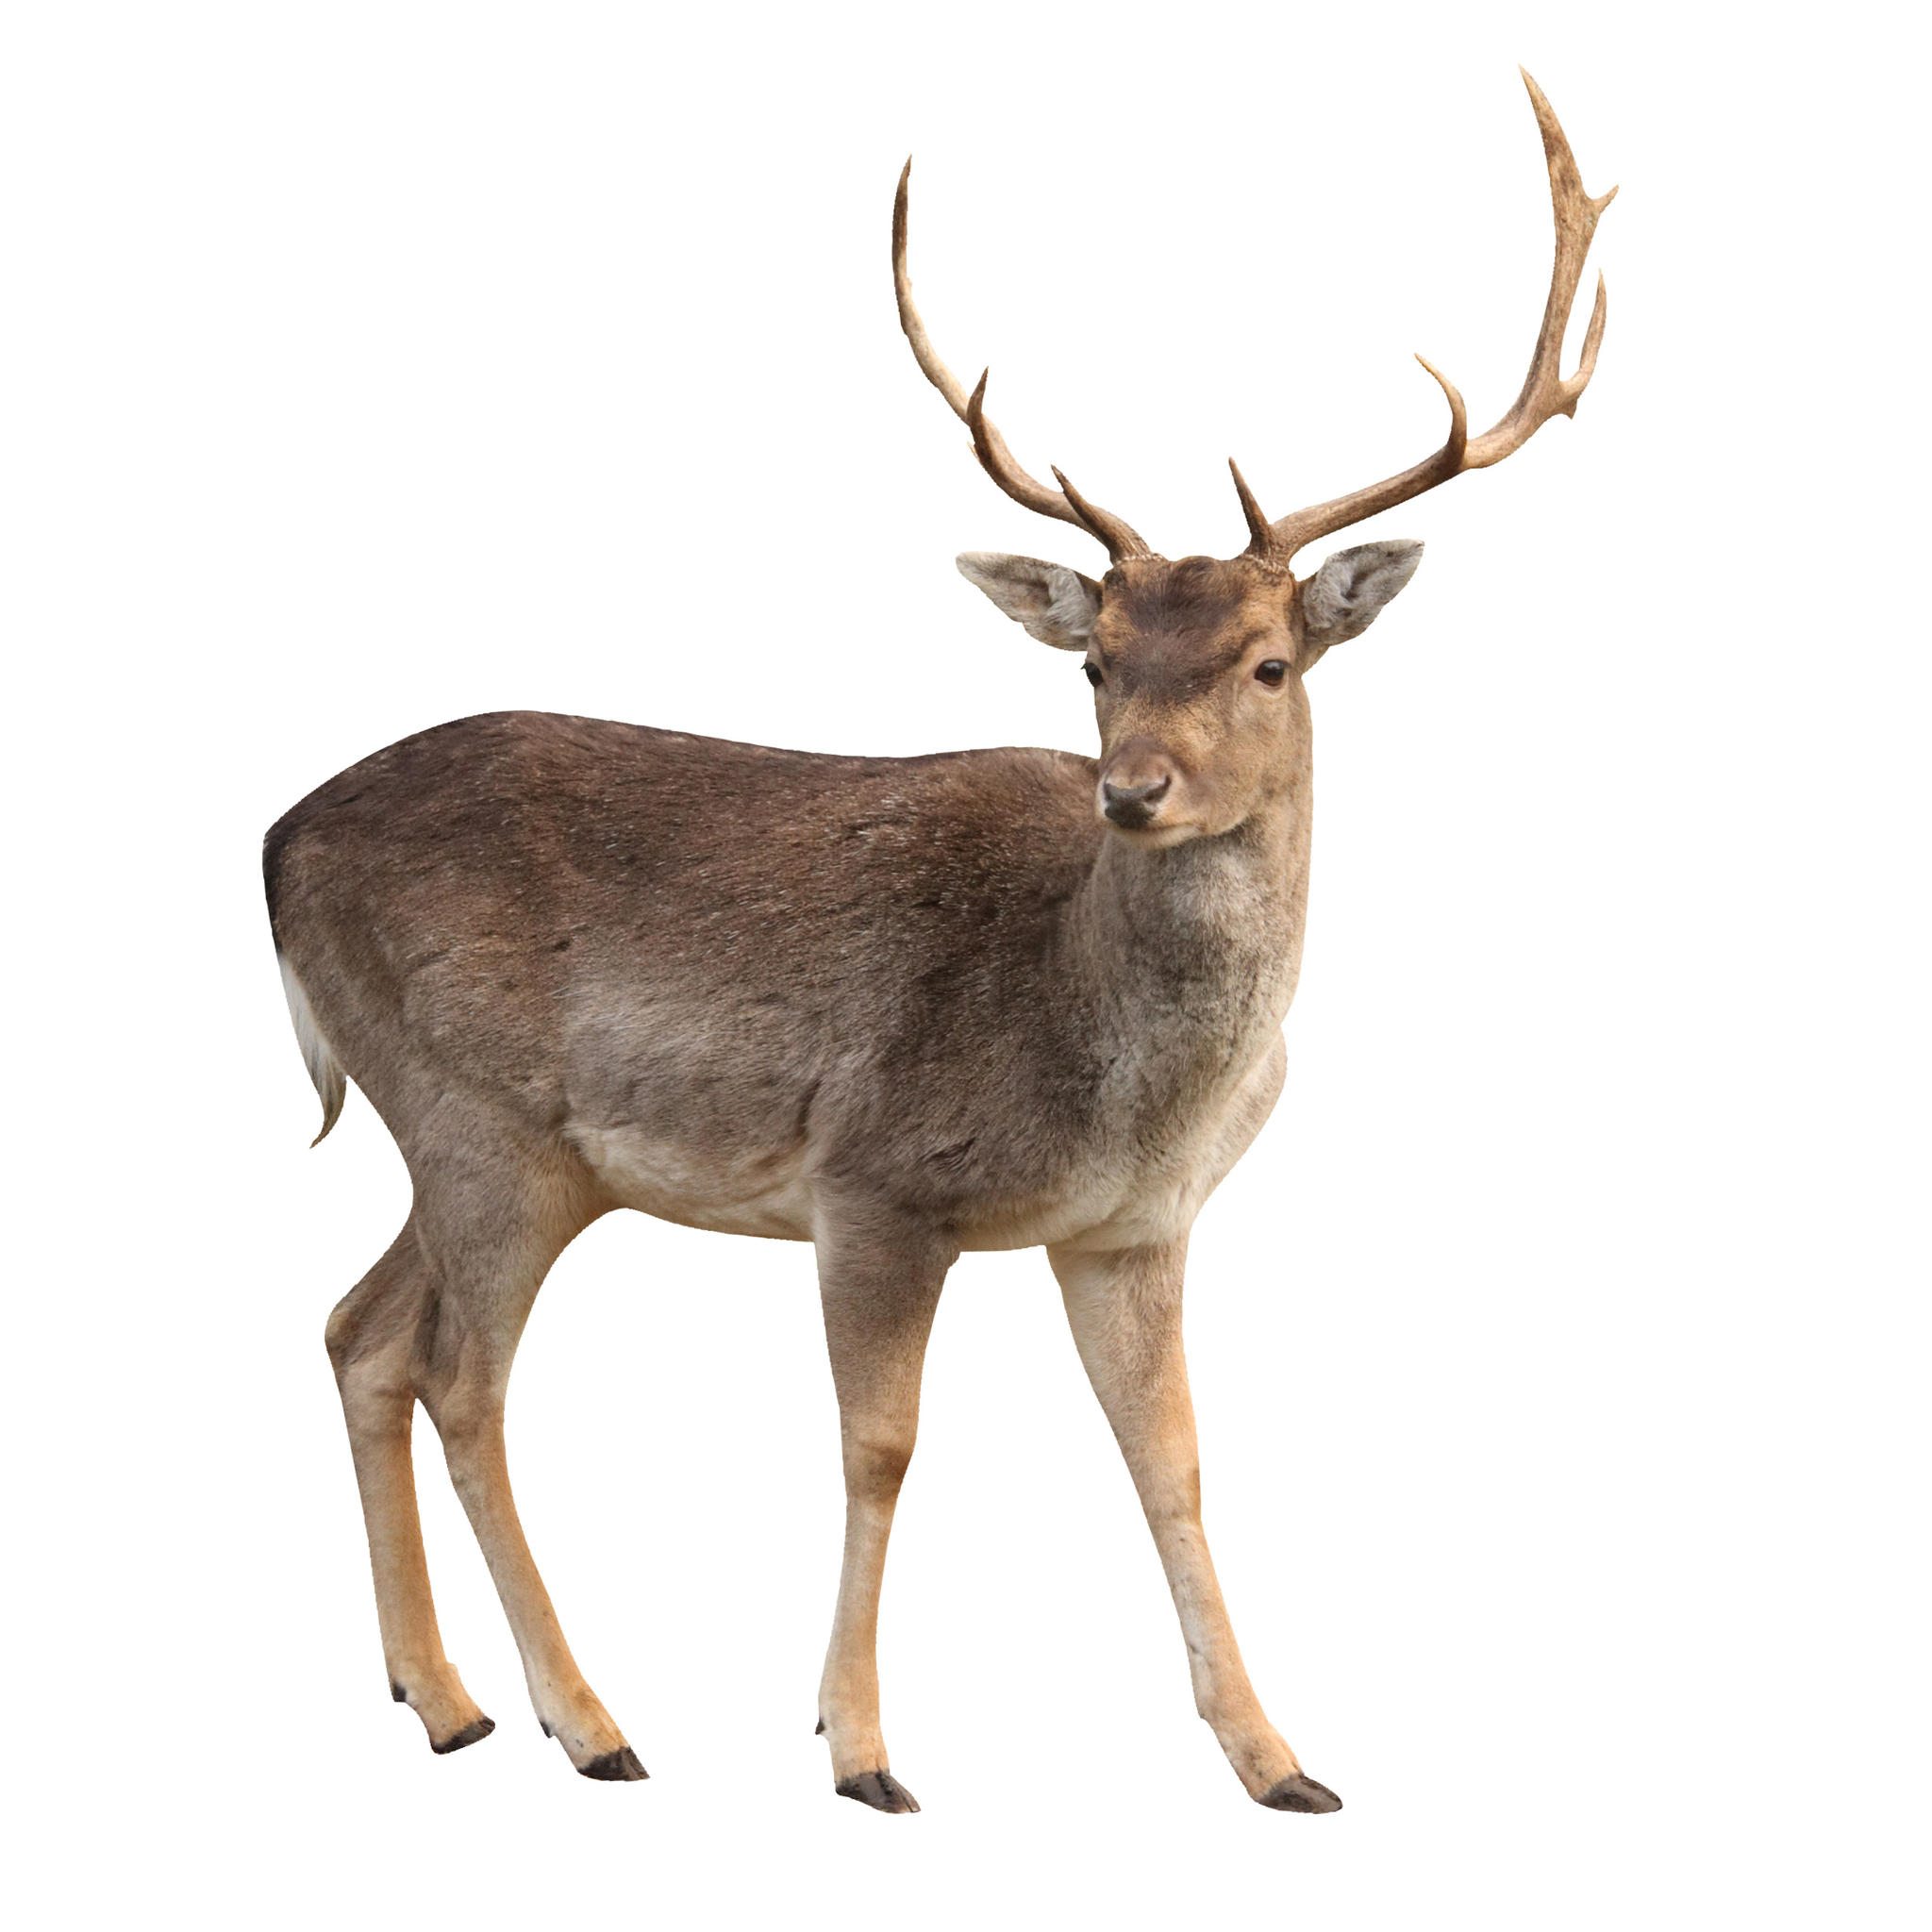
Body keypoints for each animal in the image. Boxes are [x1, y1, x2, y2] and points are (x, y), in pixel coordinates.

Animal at [265, 70, 1613, 1815]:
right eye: (1095, 661)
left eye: (1266, 661)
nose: (1132, 791)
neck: (1118, 1071)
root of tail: (273, 842)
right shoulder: (875, 1180)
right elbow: (880, 1446)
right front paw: (860, 1749)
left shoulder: (1131, 1227)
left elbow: (1173, 1457)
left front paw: (1278, 1758)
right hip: (478, 1116)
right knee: (458, 1376)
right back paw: (588, 1719)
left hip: (496, 1150)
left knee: (361, 1331)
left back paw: (443, 1698)